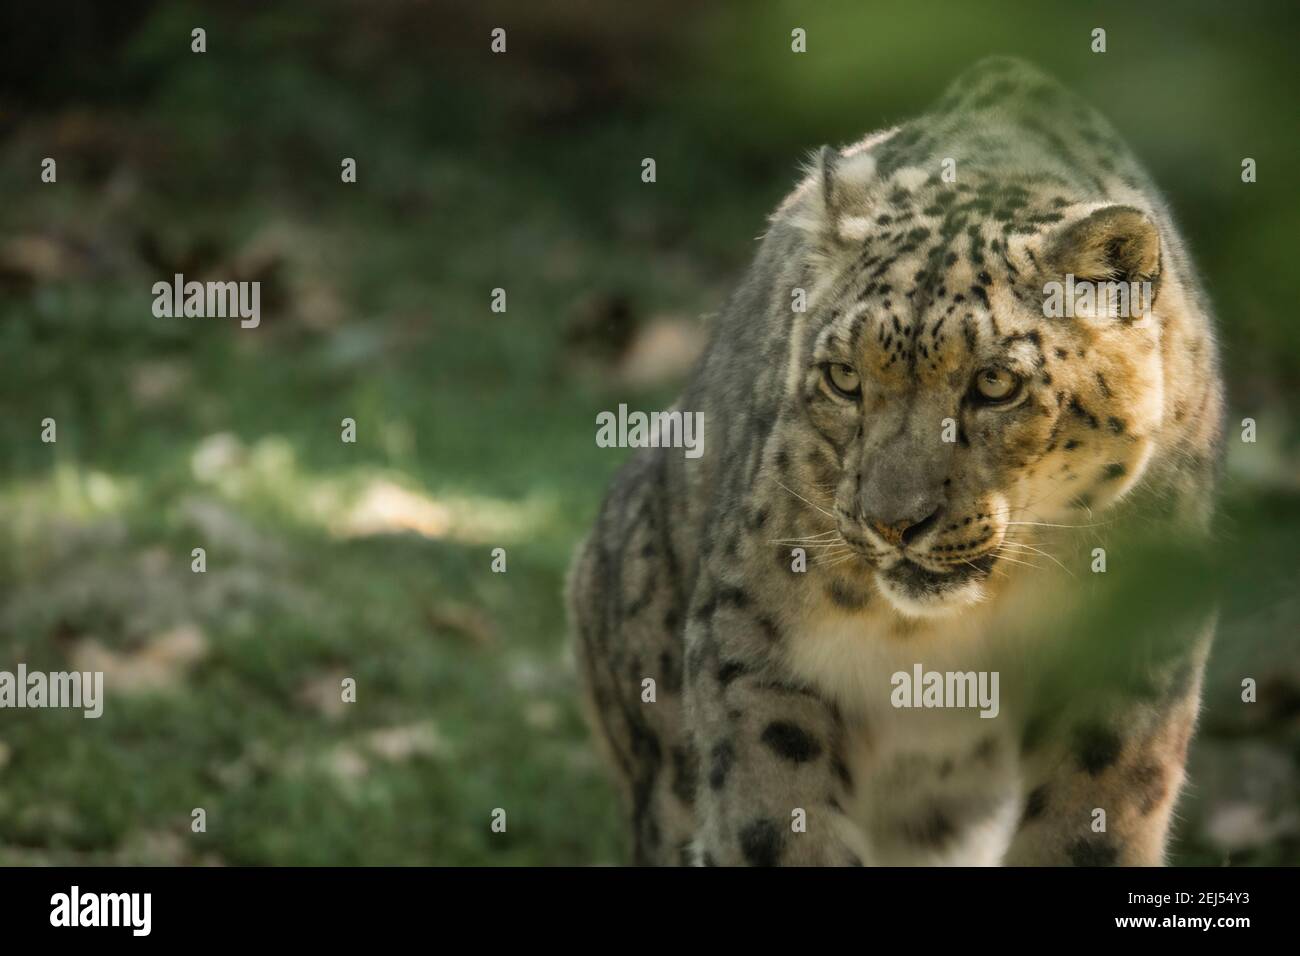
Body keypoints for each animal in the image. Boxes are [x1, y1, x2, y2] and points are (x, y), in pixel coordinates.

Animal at [567, 56, 1225, 866]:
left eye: (995, 384)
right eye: (845, 377)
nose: (893, 523)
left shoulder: (1131, 659)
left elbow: (1089, 827)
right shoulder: (756, 639)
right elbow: (772, 817)